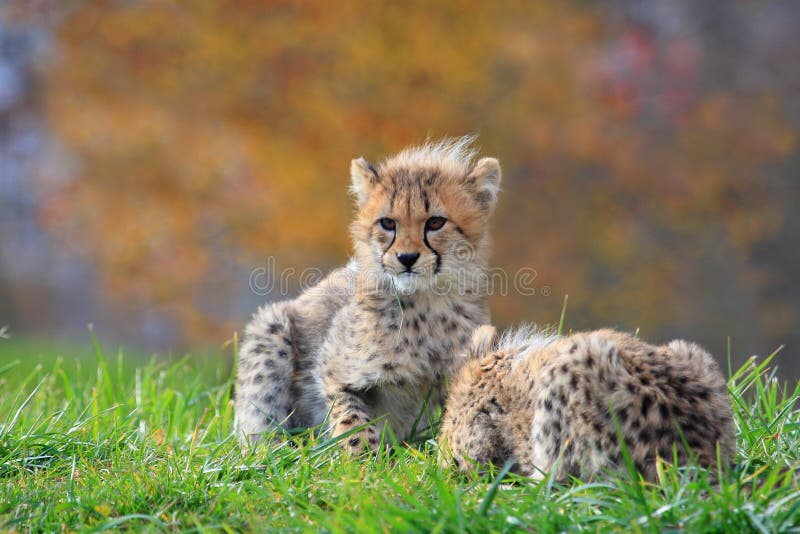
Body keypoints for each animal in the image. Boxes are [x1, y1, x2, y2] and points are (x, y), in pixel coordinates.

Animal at [235, 136, 502, 454]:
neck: (425, 305)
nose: (406, 258)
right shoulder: (332, 369)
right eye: (388, 223)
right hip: (271, 331)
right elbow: (351, 417)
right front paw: (361, 457)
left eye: (436, 222)